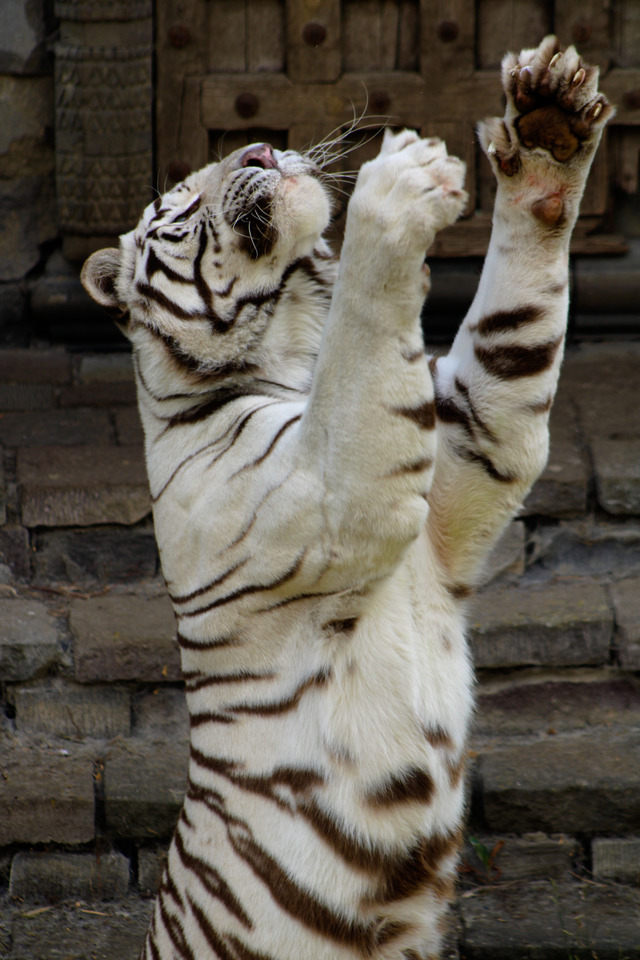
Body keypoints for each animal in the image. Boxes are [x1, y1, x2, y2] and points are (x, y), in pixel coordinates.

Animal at [81, 36, 611, 960]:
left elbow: (510, 327)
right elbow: (363, 331)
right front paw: (398, 179)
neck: (294, 335)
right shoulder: (336, 493)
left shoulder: (473, 441)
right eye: (180, 203)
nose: (261, 150)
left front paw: (547, 122)